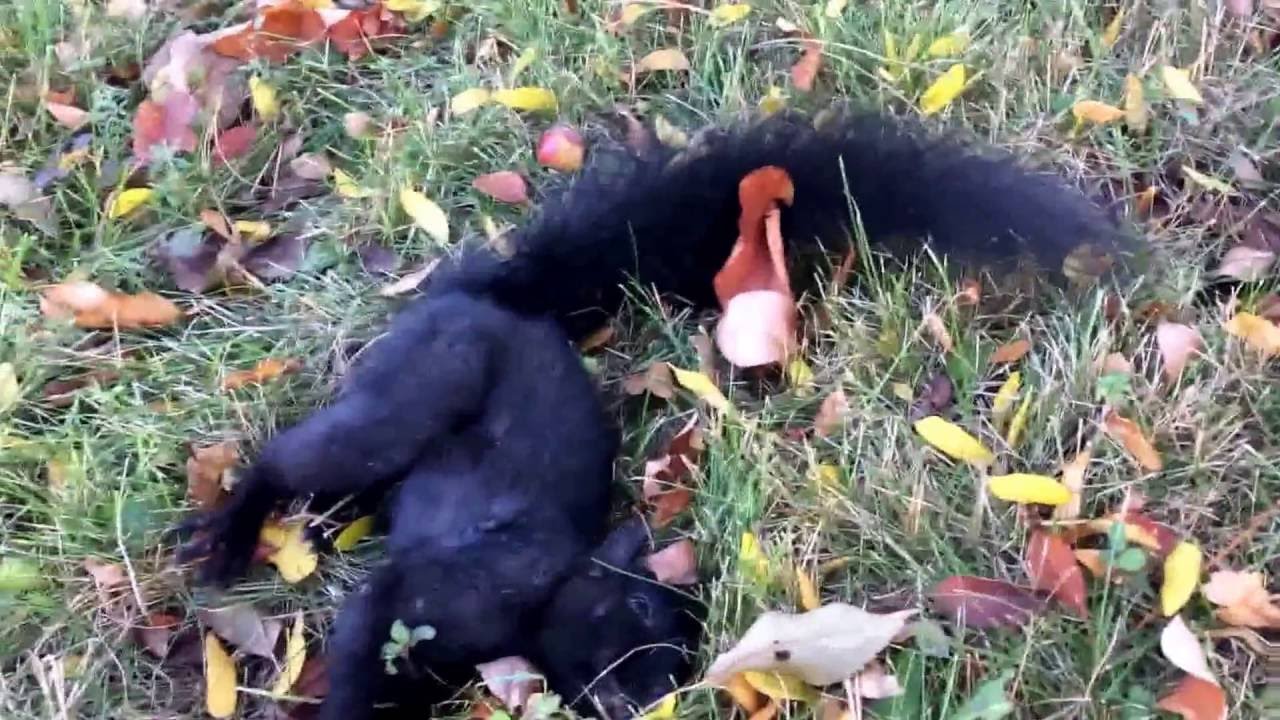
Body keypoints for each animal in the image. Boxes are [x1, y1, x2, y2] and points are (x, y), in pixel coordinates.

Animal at [177, 106, 1140, 720]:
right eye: (639, 615)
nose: (657, 698)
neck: (545, 594)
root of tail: (493, 299)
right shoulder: (431, 595)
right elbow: (363, 645)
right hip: (409, 399)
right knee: (296, 458)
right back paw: (227, 537)